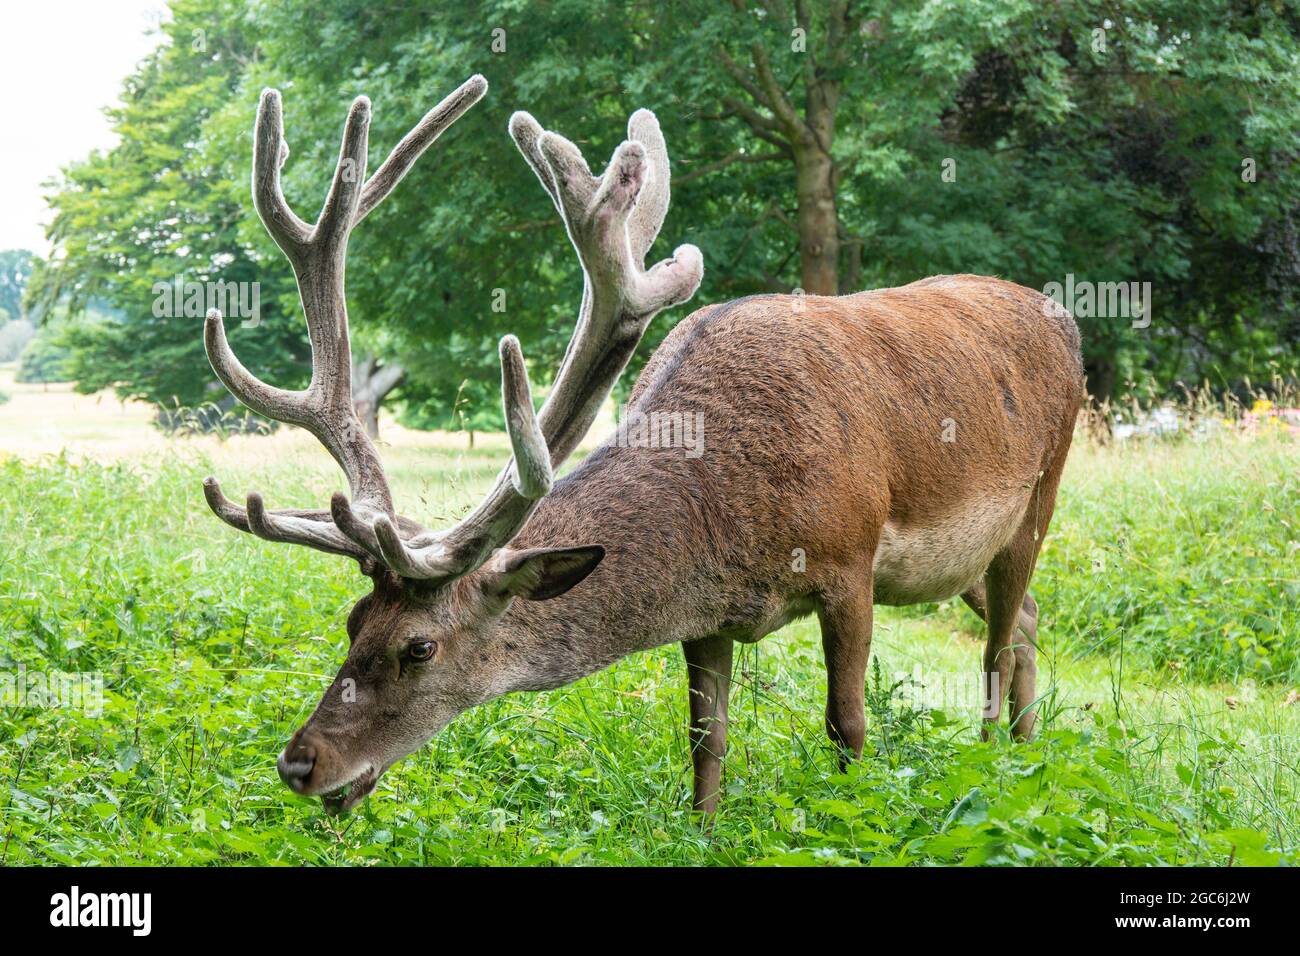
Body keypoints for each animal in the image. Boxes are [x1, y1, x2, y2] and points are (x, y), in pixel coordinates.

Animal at [201, 74, 1083, 817]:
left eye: (418, 646)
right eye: (352, 621)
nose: (298, 763)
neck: (727, 514)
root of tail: (1061, 315)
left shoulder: (849, 559)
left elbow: (848, 726)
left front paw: (852, 816)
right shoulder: (709, 617)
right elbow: (705, 741)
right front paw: (703, 830)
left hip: (1037, 493)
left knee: (1002, 642)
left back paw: (1000, 765)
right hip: (965, 558)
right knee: (1032, 615)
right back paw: (1029, 751)